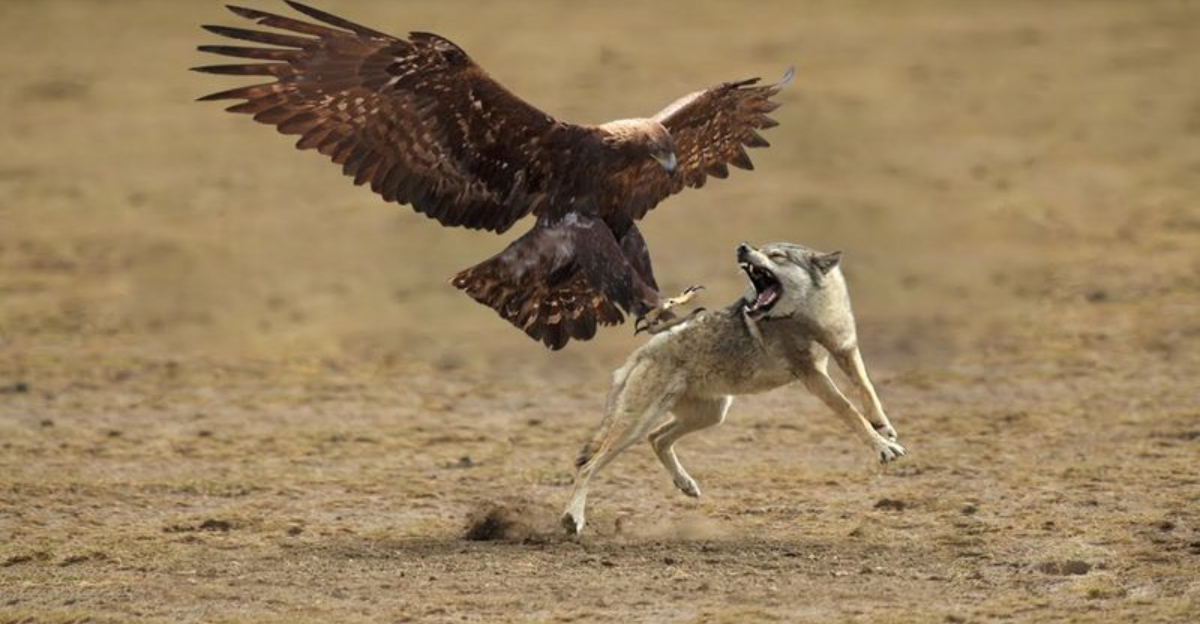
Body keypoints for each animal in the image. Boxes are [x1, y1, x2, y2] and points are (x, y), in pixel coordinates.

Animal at [561, 241, 906, 535]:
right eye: (763, 248)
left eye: (777, 255)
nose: (742, 247)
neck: (814, 315)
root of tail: (641, 353)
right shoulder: (812, 374)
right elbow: (850, 411)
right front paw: (882, 447)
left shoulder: (846, 349)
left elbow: (867, 388)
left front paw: (884, 428)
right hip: (637, 425)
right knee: (588, 467)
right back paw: (572, 519)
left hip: (711, 414)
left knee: (657, 438)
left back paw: (686, 484)